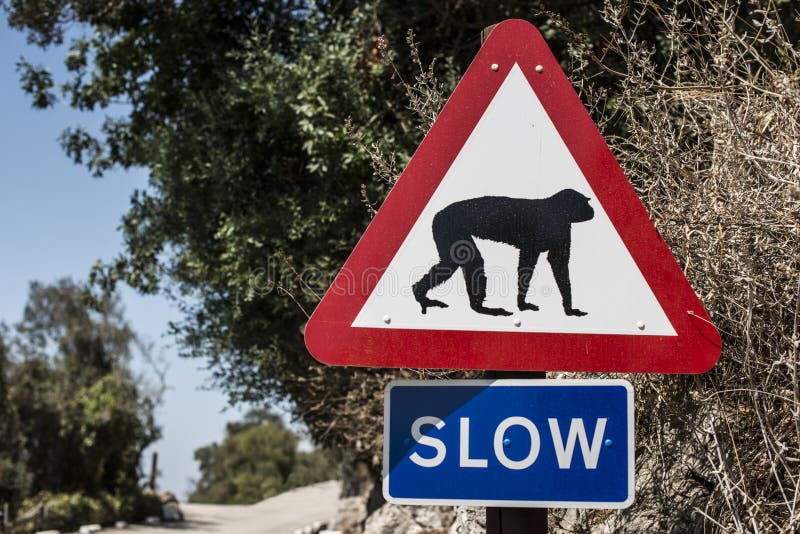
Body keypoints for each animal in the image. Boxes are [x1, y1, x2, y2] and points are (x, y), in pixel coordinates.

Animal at [412, 188, 594, 317]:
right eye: (586, 203)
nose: (592, 210)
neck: (557, 209)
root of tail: (440, 213)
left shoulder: (563, 228)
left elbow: (557, 262)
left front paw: (569, 309)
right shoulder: (554, 225)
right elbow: (530, 261)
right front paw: (522, 304)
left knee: (462, 262)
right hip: (447, 227)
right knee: (461, 261)